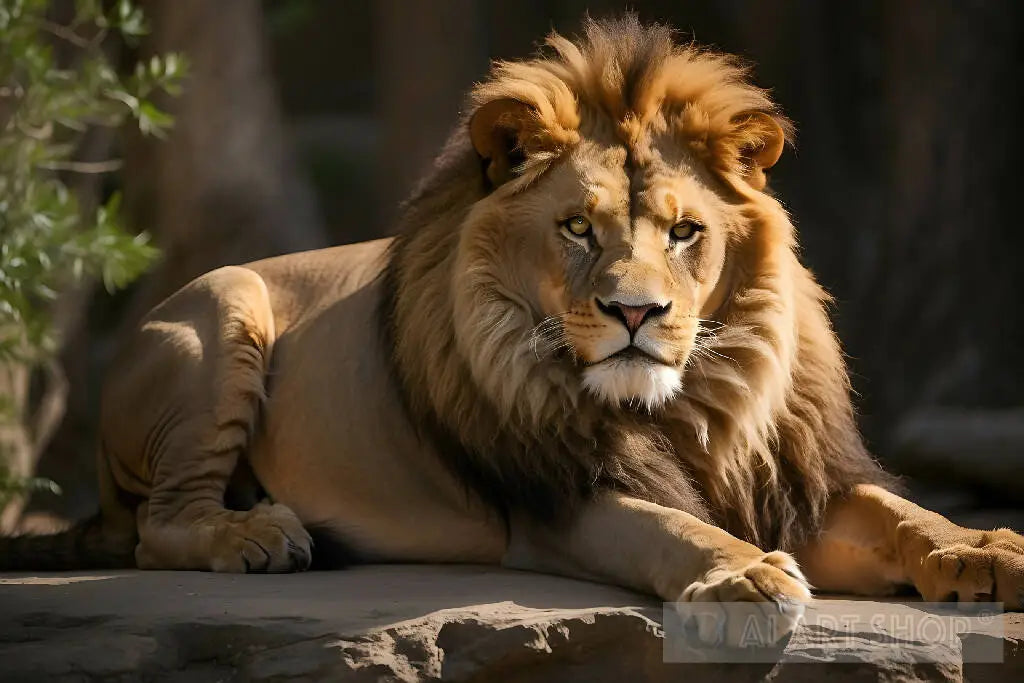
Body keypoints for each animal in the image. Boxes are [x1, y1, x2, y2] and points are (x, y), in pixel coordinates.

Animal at [3, 16, 1022, 646]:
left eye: (686, 232)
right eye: (578, 228)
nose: (636, 313)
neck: (687, 404)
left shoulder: (793, 478)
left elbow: (902, 511)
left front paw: (987, 548)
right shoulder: (560, 499)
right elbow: (673, 528)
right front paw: (745, 577)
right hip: (226, 305)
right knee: (157, 527)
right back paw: (256, 535)